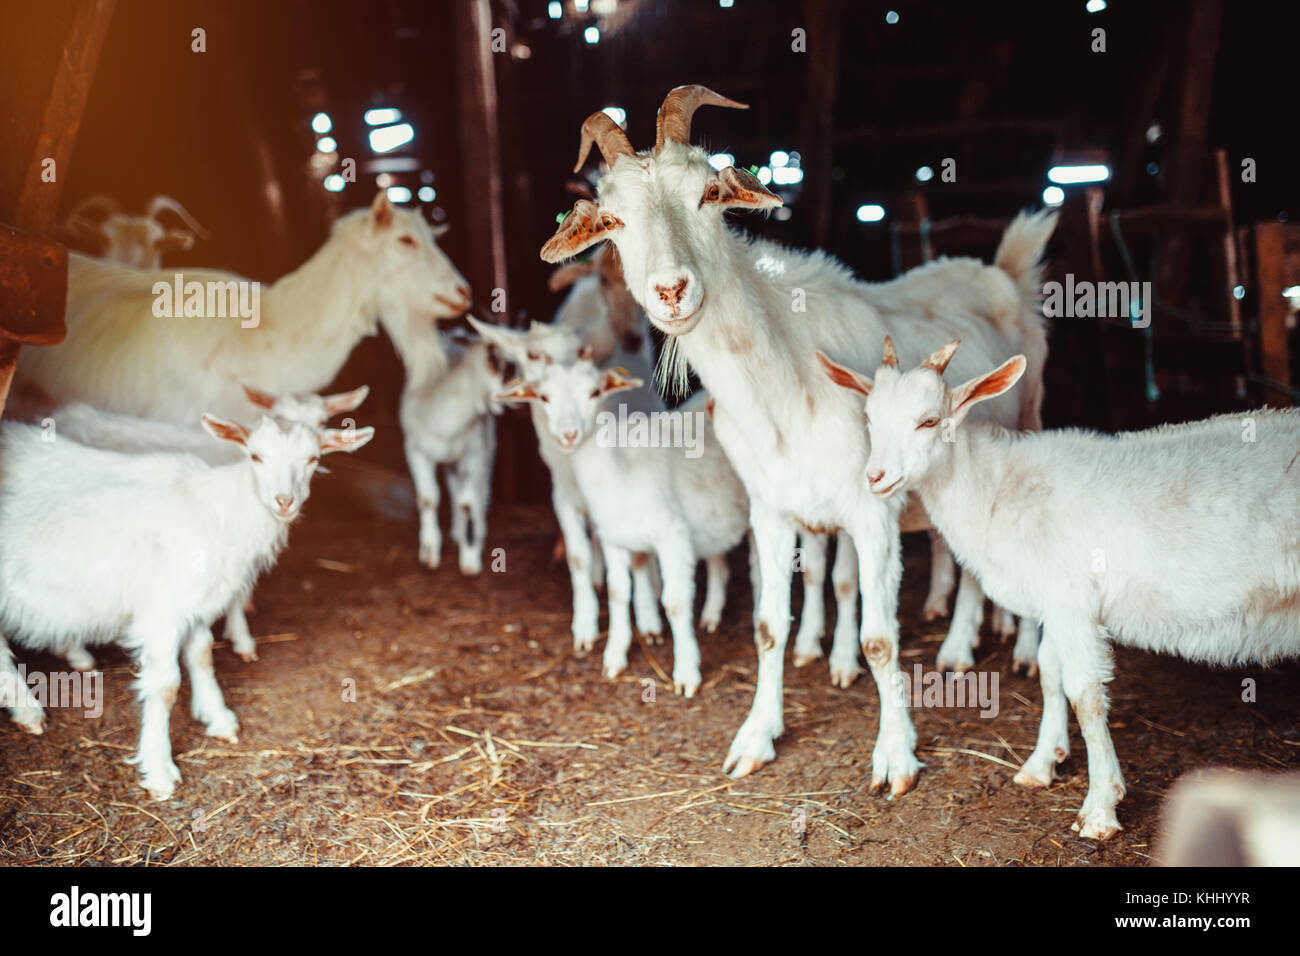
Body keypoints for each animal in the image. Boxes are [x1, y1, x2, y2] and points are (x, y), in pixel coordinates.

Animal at [0, 414, 374, 799]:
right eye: (256, 456)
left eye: (313, 459)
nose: (284, 501)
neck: (220, 514)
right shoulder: (163, 611)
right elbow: (165, 687)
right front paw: (159, 770)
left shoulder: (197, 602)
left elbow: (203, 654)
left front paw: (218, 717)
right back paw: (28, 710)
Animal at [500, 360, 748, 696]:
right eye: (544, 398)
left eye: (594, 393)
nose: (569, 435)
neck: (620, 474)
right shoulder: (614, 539)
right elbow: (618, 592)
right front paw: (614, 657)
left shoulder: (672, 537)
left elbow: (675, 603)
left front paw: (686, 673)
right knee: (719, 560)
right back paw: (711, 615)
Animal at [540, 86, 1053, 786]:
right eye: (614, 220)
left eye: (708, 193)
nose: (672, 290)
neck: (782, 384)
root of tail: (999, 271)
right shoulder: (773, 508)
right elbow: (767, 625)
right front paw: (758, 735)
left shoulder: (873, 510)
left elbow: (879, 637)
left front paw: (896, 756)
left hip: (1028, 420)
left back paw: (987, 647)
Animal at [820, 336, 1300, 837]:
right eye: (869, 419)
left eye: (929, 420)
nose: (874, 478)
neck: (995, 489)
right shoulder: (1053, 601)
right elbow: (1050, 672)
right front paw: (1043, 761)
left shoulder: (1074, 603)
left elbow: (1084, 695)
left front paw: (1101, 806)